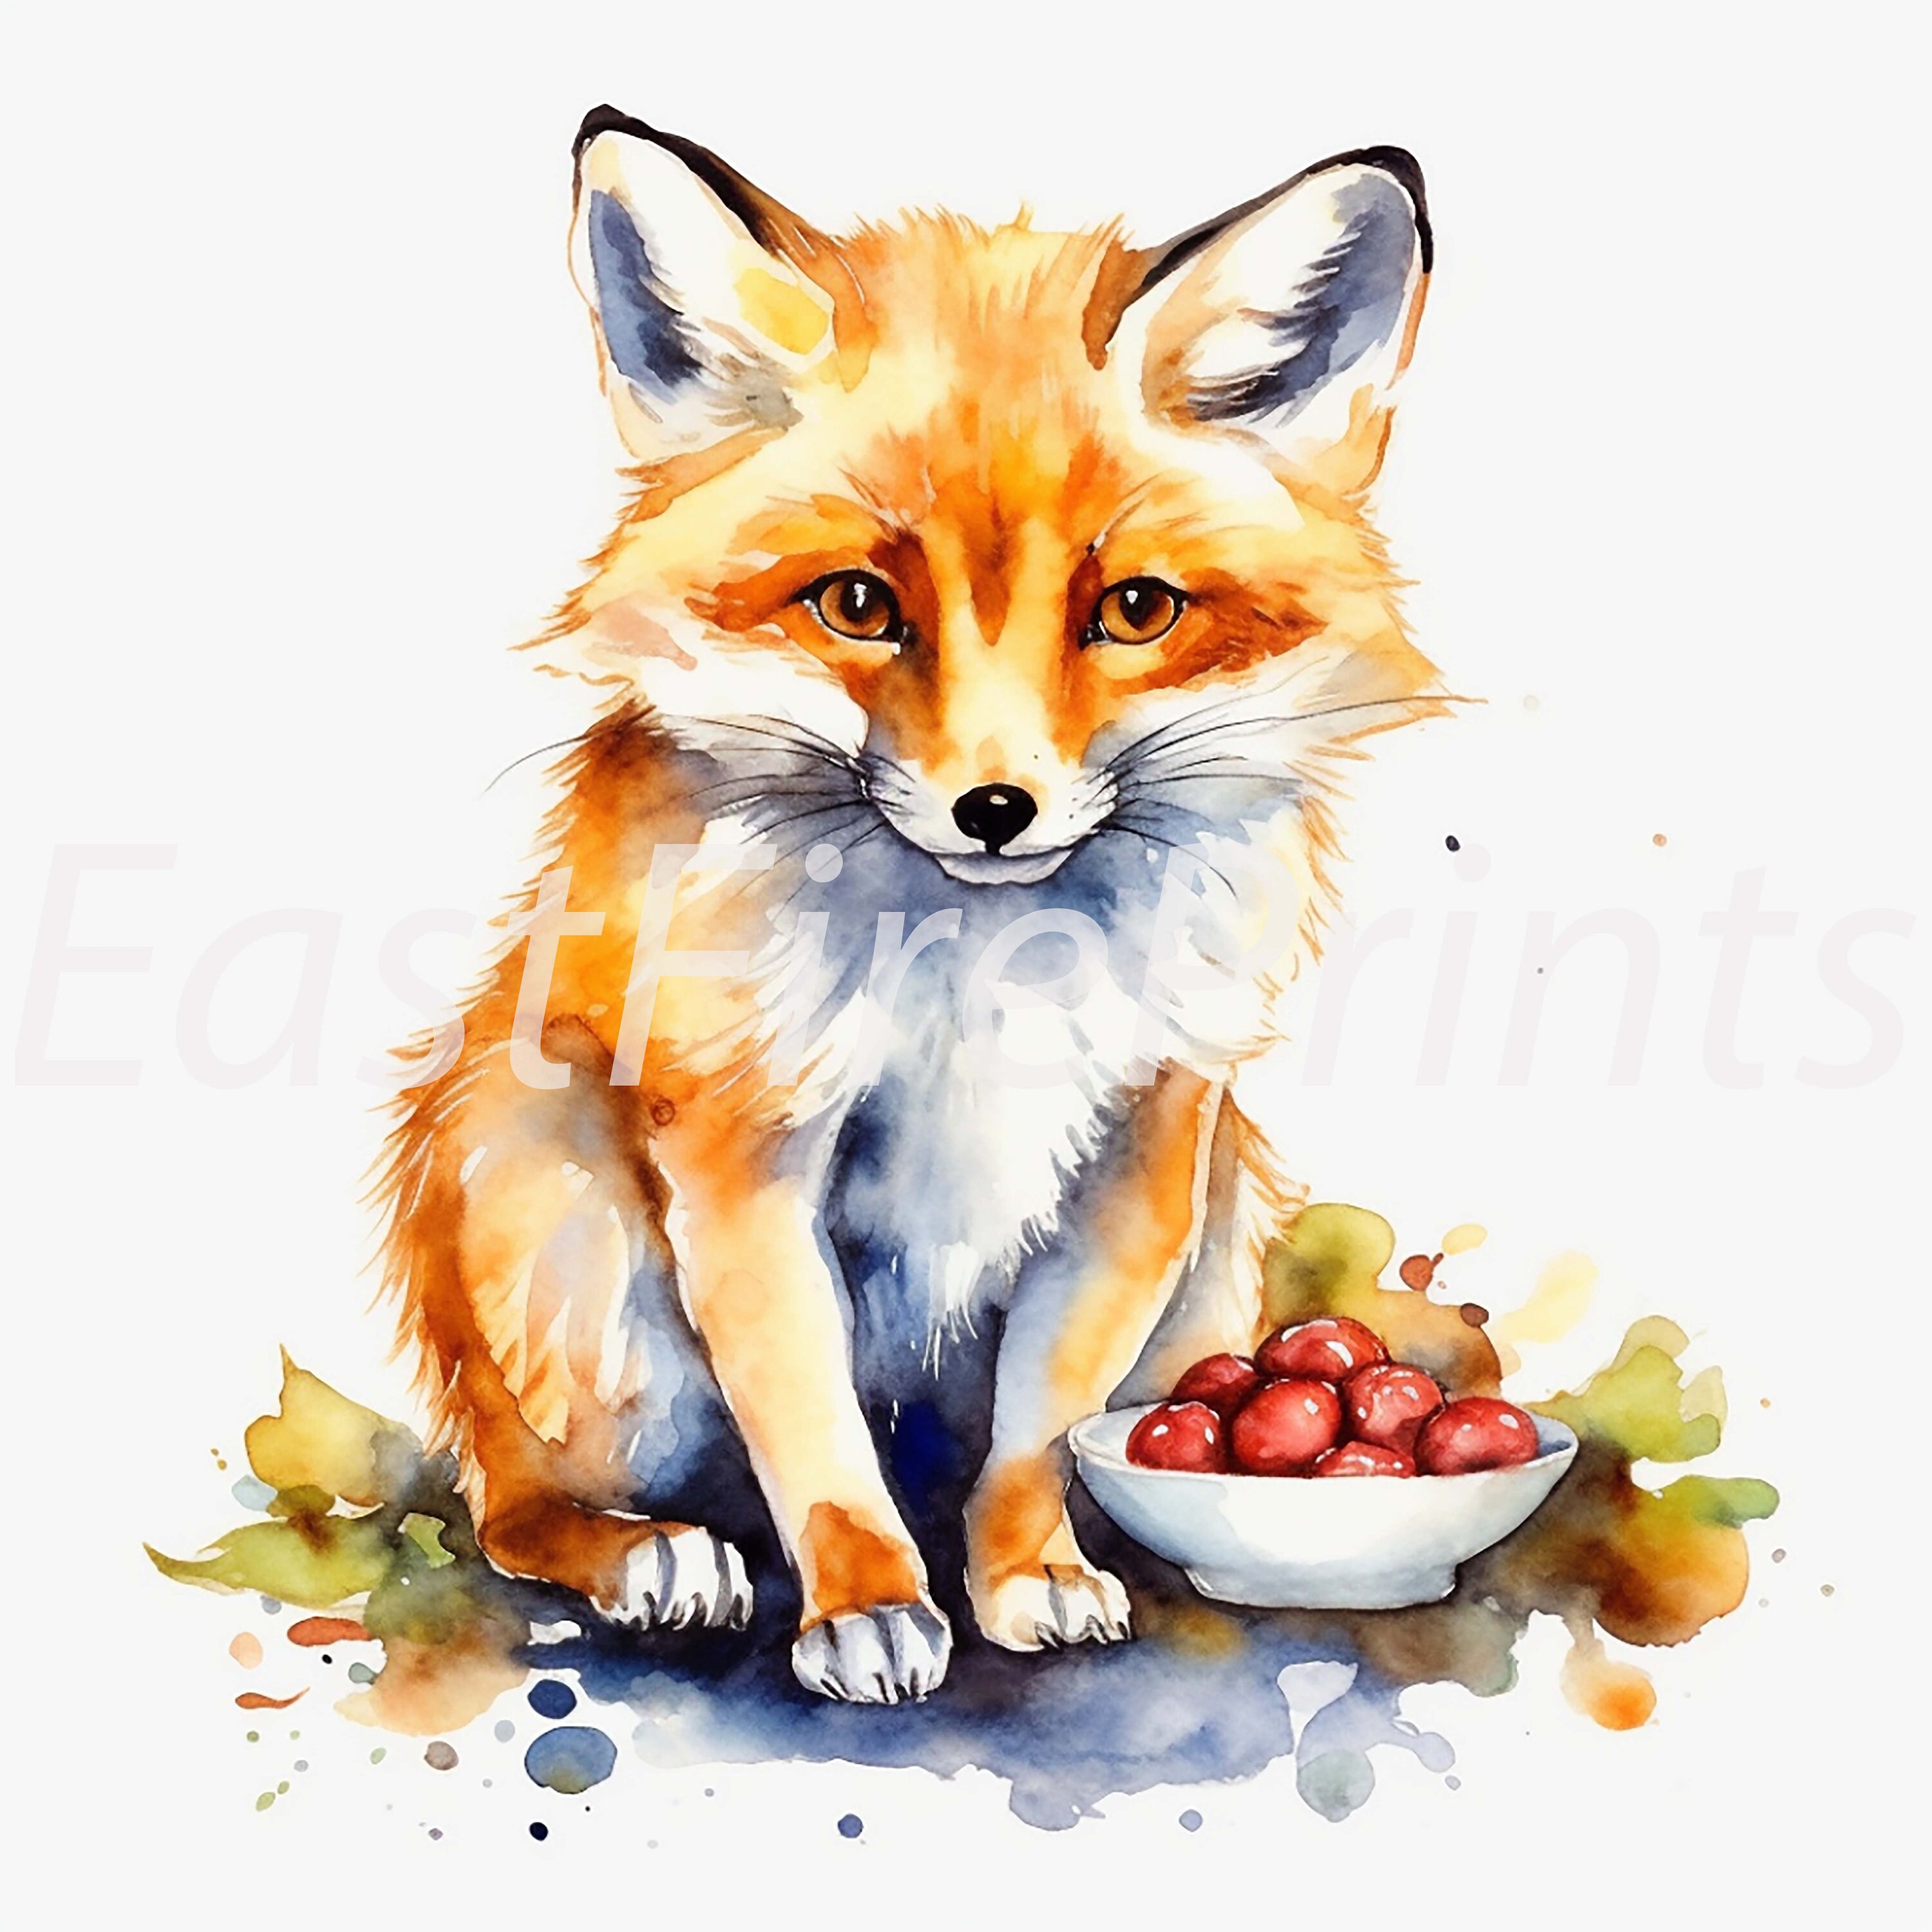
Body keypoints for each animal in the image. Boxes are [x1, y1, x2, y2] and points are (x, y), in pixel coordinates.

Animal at [378, 106, 1443, 1704]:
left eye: (1135, 611)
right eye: (860, 606)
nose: (994, 810)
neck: (986, 978)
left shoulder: (1146, 1144)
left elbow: (1042, 1425)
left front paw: (1024, 1568)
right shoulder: (743, 1149)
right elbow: (812, 1430)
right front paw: (867, 1600)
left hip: (1224, 1230)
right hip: (555, 1206)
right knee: (514, 1505)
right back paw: (642, 1553)